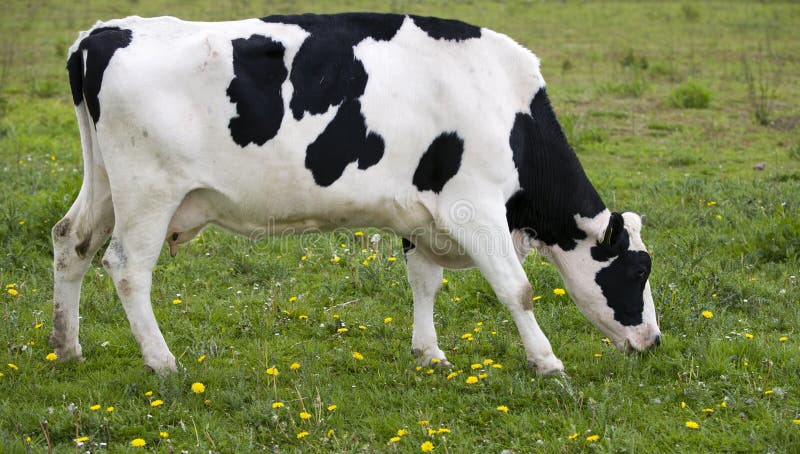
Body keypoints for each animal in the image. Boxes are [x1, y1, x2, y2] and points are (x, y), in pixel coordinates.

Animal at [51, 13, 661, 375]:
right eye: (638, 271)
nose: (653, 340)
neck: (503, 102)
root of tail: (102, 32)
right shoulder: (475, 206)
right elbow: (519, 290)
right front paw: (547, 362)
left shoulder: (422, 212)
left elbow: (425, 283)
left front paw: (429, 352)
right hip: (148, 192)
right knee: (127, 268)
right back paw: (163, 362)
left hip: (105, 183)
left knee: (70, 241)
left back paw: (67, 346)